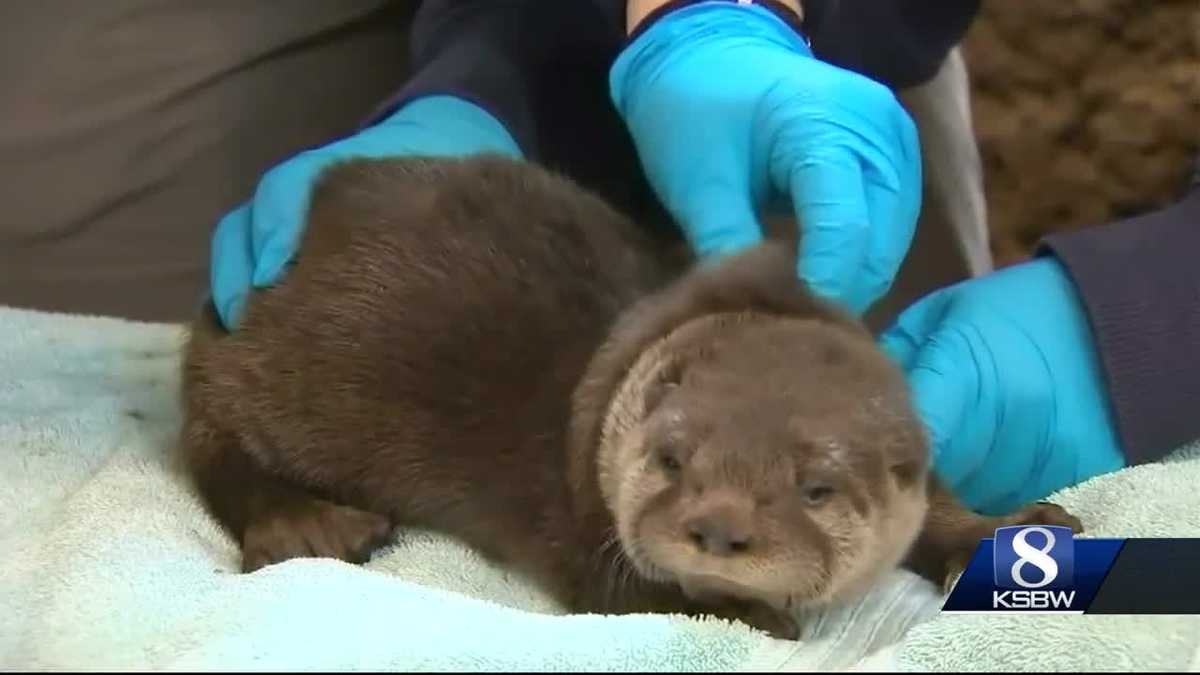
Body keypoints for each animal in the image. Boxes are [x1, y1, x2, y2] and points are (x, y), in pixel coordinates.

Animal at [179, 155, 1081, 639]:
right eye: (672, 459)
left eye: (816, 487)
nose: (717, 528)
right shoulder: (582, 518)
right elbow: (627, 595)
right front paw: (754, 616)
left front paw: (1003, 530)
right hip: (250, 370)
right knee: (215, 446)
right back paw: (307, 520)